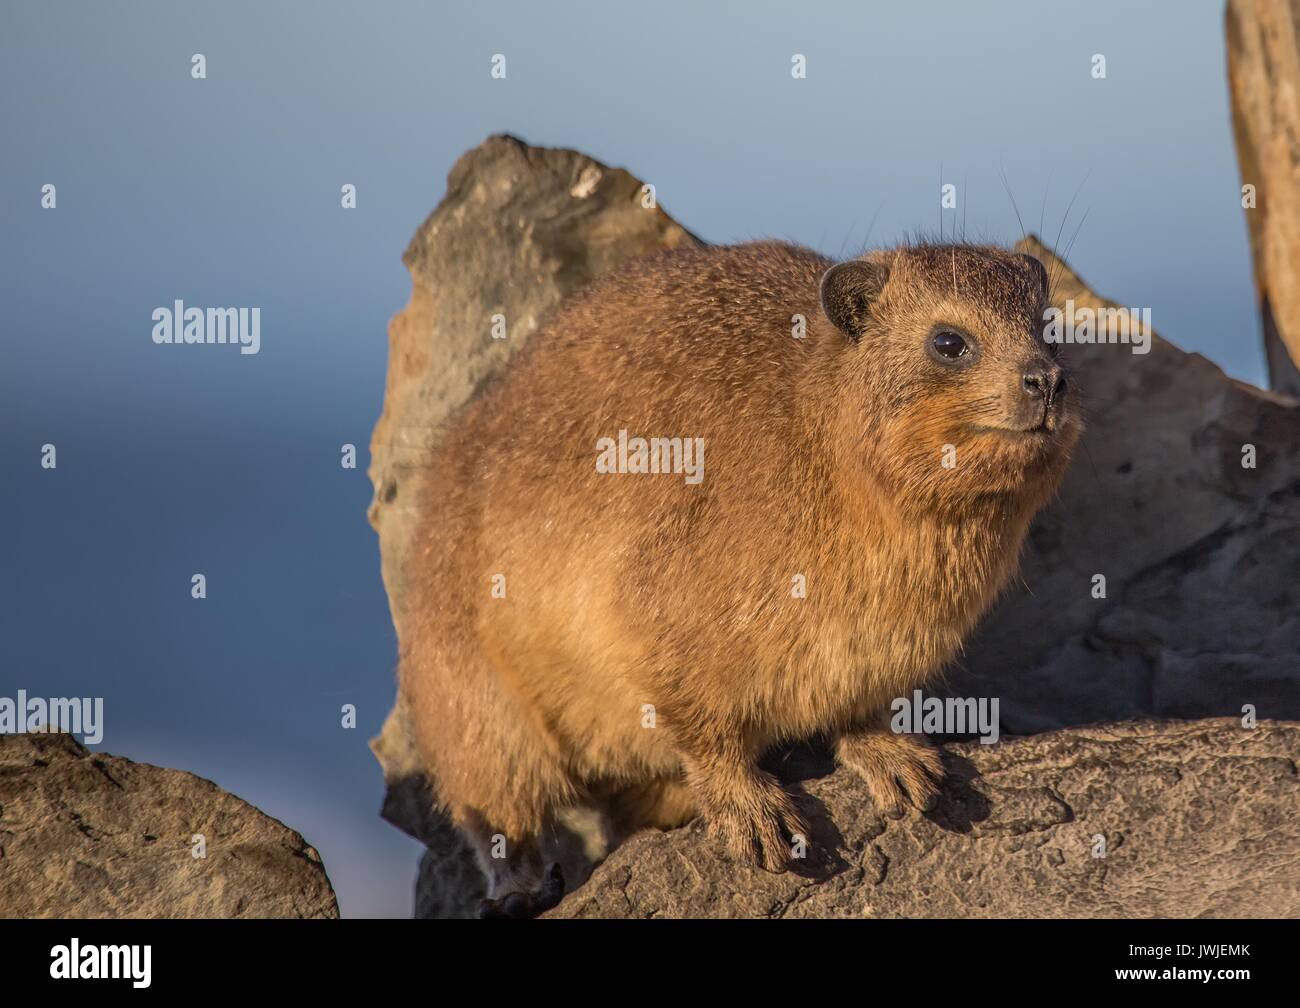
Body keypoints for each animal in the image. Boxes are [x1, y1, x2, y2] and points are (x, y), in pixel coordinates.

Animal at [400, 240, 1079, 916]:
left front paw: (894, 758)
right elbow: (703, 726)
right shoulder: (655, 604)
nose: (1046, 379)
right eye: (948, 342)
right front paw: (753, 814)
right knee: (500, 804)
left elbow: (864, 710)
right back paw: (520, 889)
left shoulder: (880, 653)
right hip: (468, 694)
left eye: (1048, 328)